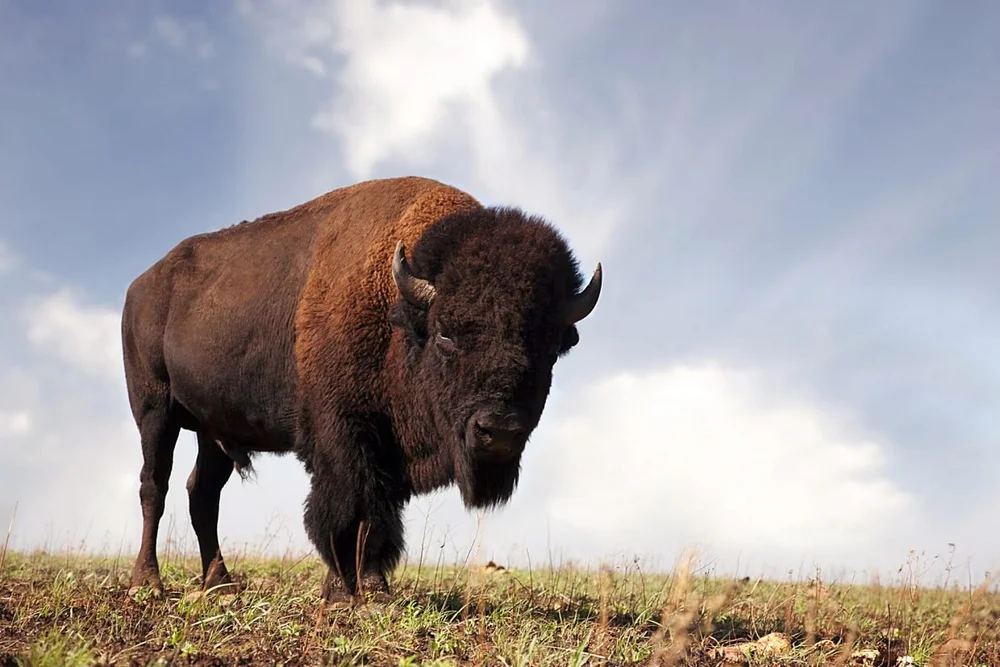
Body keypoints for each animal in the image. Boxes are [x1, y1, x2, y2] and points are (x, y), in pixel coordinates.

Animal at [121, 176, 602, 604]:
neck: (400, 316)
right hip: (154, 411)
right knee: (154, 486)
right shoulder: (343, 434)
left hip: (214, 431)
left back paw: (221, 584)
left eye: (548, 345)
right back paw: (148, 583)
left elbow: (379, 515)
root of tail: (140, 285)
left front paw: (374, 588)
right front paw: (341, 593)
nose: (498, 430)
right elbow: (348, 508)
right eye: (446, 332)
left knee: (202, 493)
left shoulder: (390, 450)